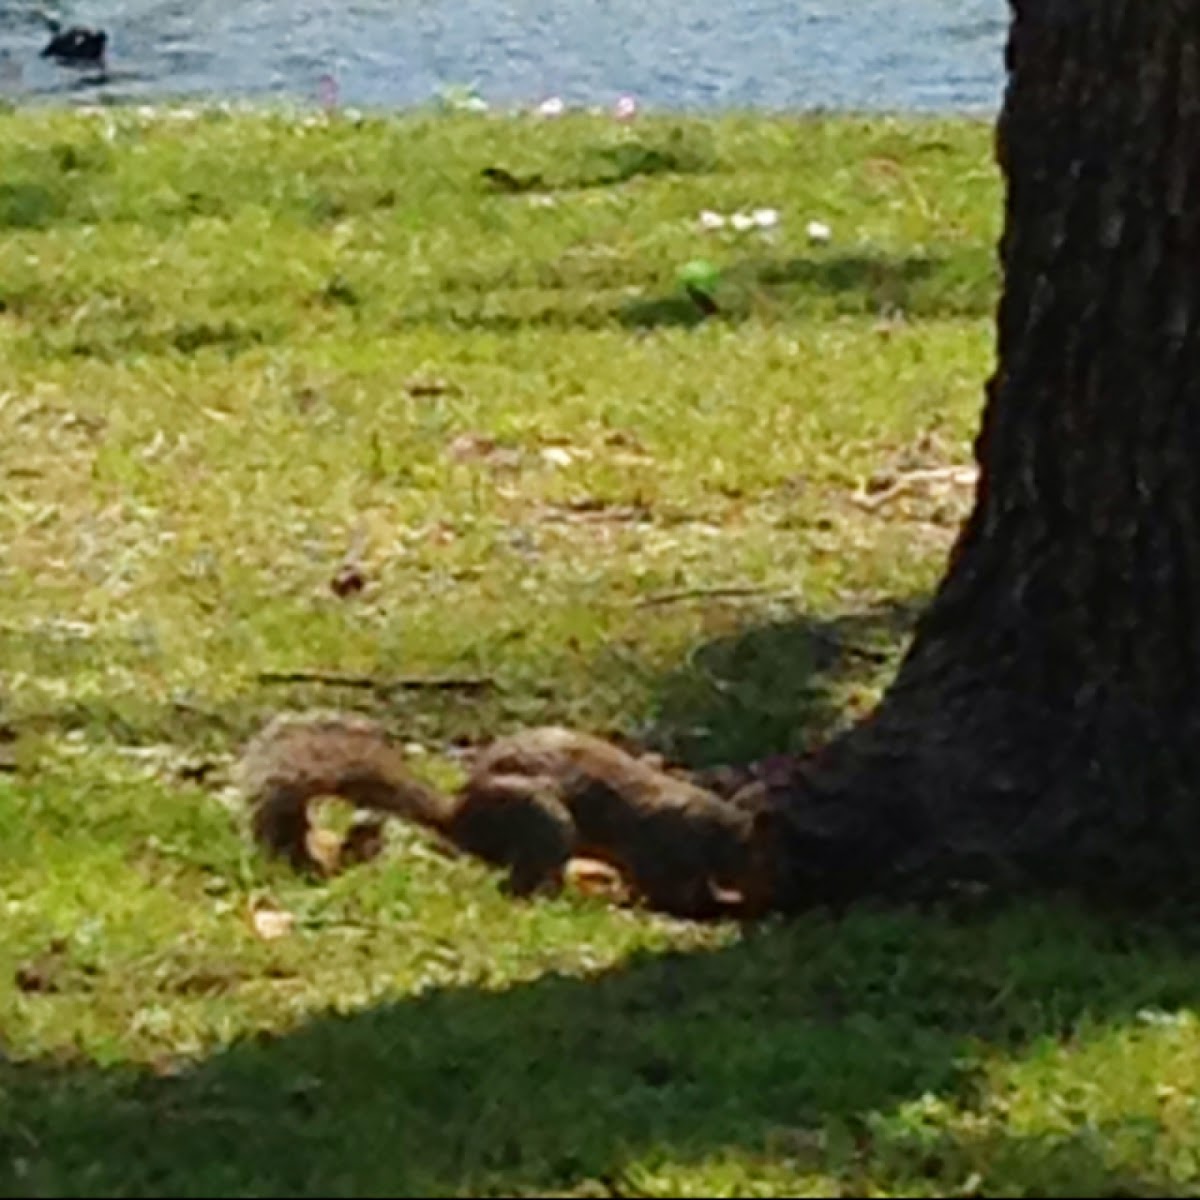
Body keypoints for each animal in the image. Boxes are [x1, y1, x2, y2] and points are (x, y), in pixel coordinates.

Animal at [236, 711, 774, 920]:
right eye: (770, 856)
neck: (716, 830)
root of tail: (459, 817)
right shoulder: (663, 849)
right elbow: (666, 889)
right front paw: (714, 905)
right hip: (543, 818)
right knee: (520, 881)